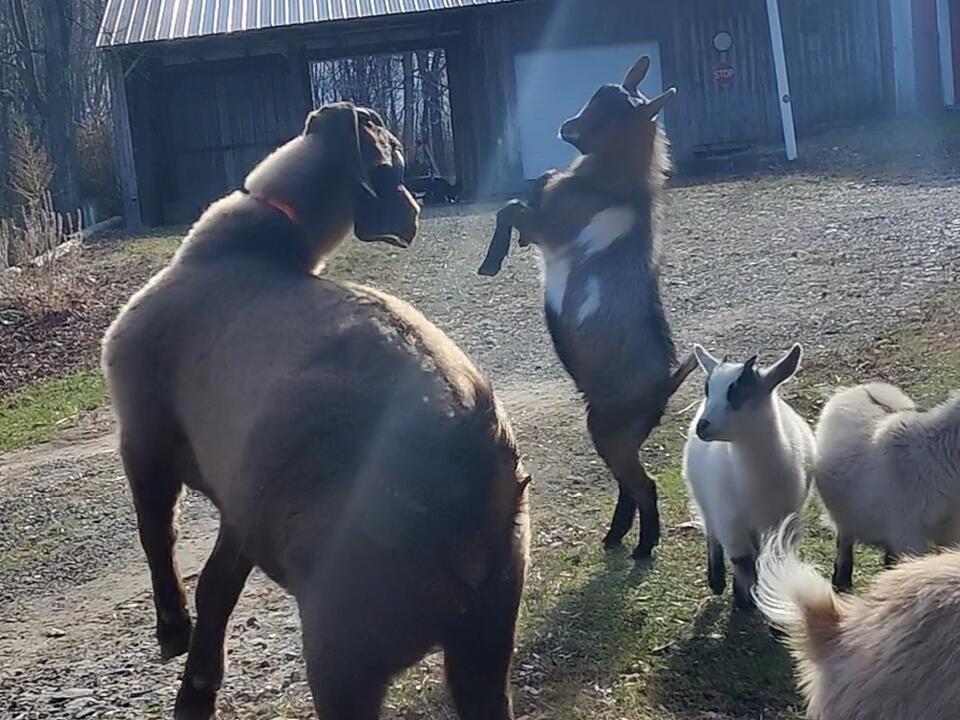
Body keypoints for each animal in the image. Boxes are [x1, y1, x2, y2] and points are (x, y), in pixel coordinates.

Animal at [102, 102, 530, 720]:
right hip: (485, 639)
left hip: (344, 642)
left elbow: (157, 536)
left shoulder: (144, 435)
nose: (414, 213)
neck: (260, 242)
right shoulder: (243, 505)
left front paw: (172, 632)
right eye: (395, 163)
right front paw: (197, 688)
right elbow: (217, 587)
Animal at [478, 56, 695, 560]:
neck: (608, 187)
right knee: (628, 486)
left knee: (644, 485)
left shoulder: (551, 229)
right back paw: (615, 538)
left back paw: (642, 547)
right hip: (607, 429)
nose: (566, 126)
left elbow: (511, 208)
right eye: (596, 96)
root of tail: (665, 386)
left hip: (613, 431)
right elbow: (524, 196)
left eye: (617, 116)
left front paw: (492, 262)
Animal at [683, 345, 815, 609]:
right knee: (711, 530)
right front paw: (747, 601)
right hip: (703, 497)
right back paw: (718, 580)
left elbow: (774, 560)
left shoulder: (784, 520)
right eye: (708, 389)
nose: (703, 425)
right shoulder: (730, 521)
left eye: (738, 392)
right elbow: (743, 562)